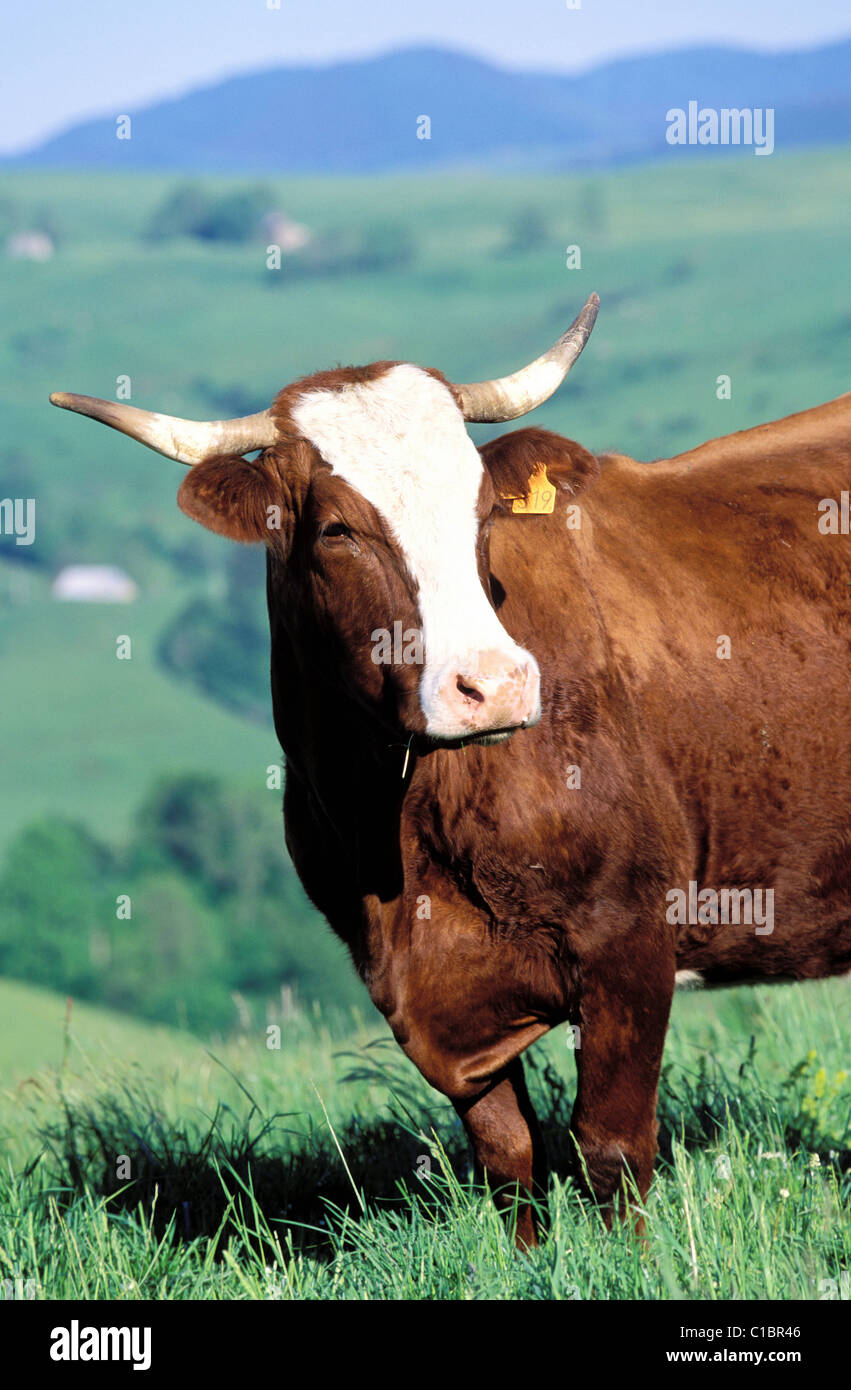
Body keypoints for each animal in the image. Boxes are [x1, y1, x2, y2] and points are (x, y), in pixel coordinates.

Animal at [51, 294, 851, 1248]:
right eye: (337, 529)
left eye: (482, 515)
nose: (494, 684)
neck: (404, 825)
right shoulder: (416, 987)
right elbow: (508, 1151)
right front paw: (529, 1258)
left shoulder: (629, 936)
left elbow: (612, 1144)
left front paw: (630, 1261)